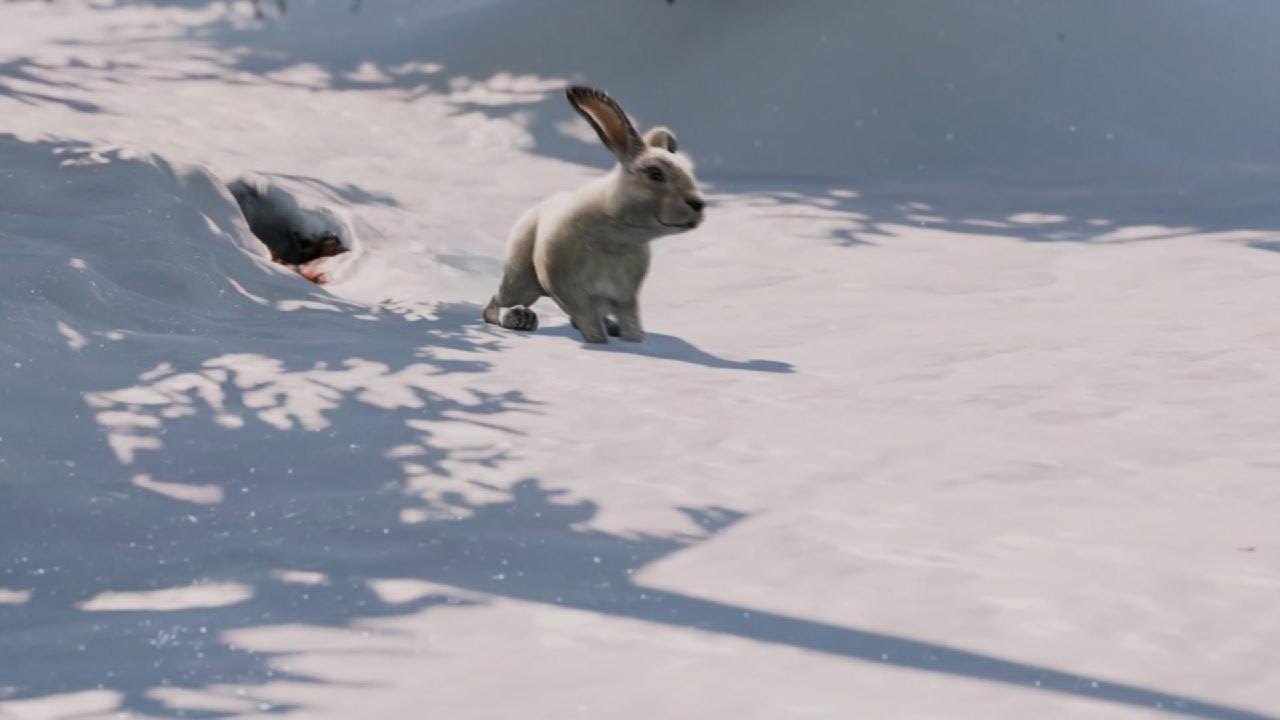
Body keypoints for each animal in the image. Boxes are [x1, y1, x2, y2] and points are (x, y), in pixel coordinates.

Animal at [482, 85, 706, 343]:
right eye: (655, 174)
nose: (698, 204)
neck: (617, 235)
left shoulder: (625, 297)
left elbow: (629, 322)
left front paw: (633, 341)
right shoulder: (571, 292)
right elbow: (589, 322)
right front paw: (601, 343)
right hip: (521, 278)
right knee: (495, 305)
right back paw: (520, 319)